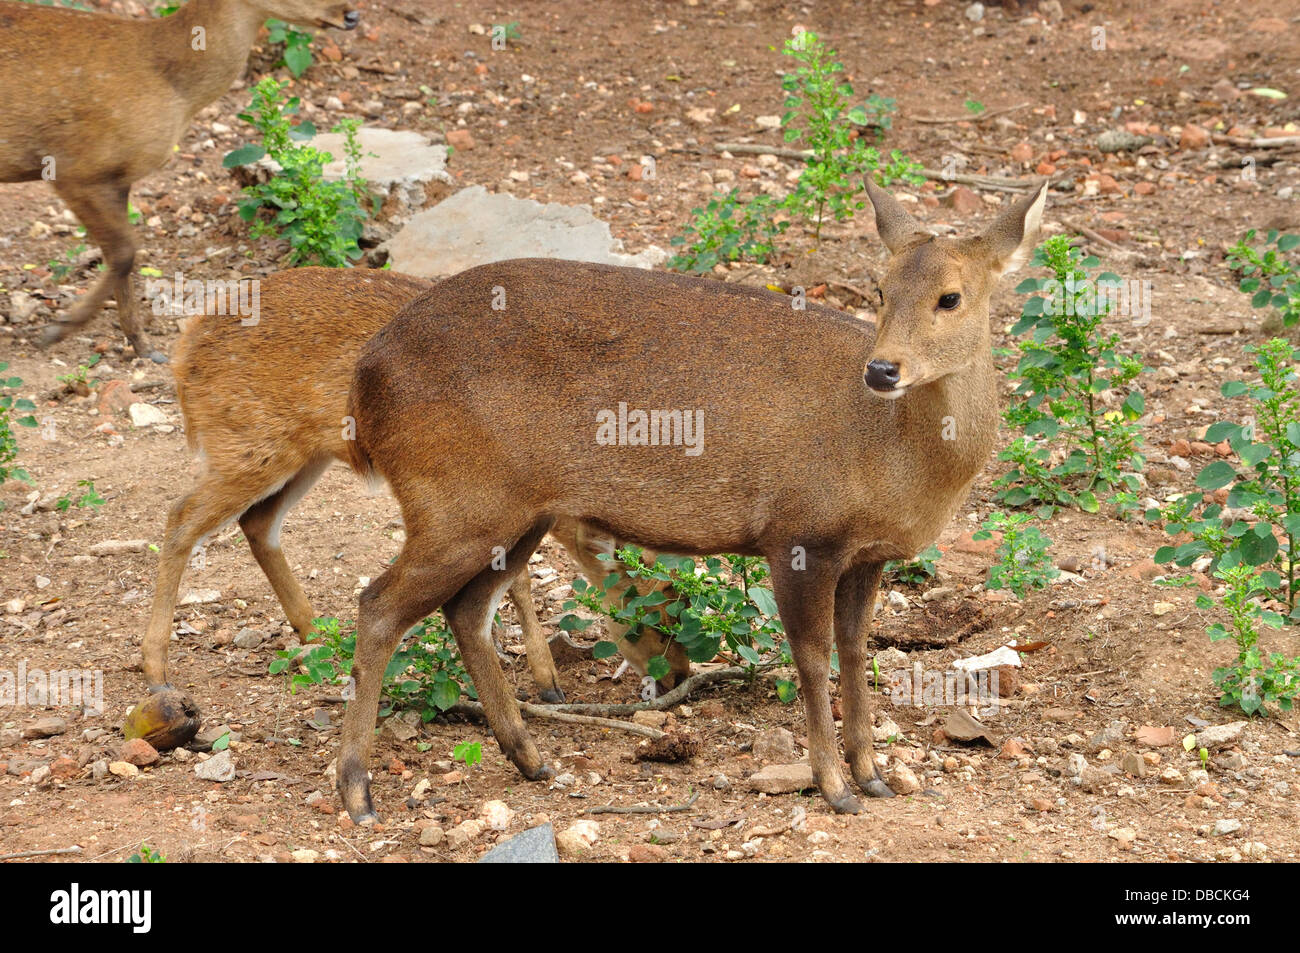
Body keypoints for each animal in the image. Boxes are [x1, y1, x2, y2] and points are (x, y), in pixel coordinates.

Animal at [0, 0, 360, 363]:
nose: (352, 15)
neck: (175, 87)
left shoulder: (117, 178)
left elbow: (122, 258)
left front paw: (144, 346)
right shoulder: (75, 167)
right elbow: (124, 253)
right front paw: (58, 329)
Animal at [143, 266, 686, 715]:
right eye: (650, 615)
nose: (678, 677)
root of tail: (186, 350)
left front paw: (539, 676)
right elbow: (519, 578)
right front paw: (545, 679)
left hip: (302, 456)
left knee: (255, 521)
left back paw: (317, 635)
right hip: (249, 446)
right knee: (181, 517)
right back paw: (156, 670)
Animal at [336, 178, 1048, 823]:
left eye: (951, 297)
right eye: (880, 289)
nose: (881, 369)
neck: (899, 460)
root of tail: (365, 378)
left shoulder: (867, 555)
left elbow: (855, 652)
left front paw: (872, 775)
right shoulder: (799, 532)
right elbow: (813, 658)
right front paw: (833, 787)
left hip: (514, 515)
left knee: (465, 610)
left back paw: (532, 759)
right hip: (454, 500)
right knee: (377, 606)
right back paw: (357, 792)